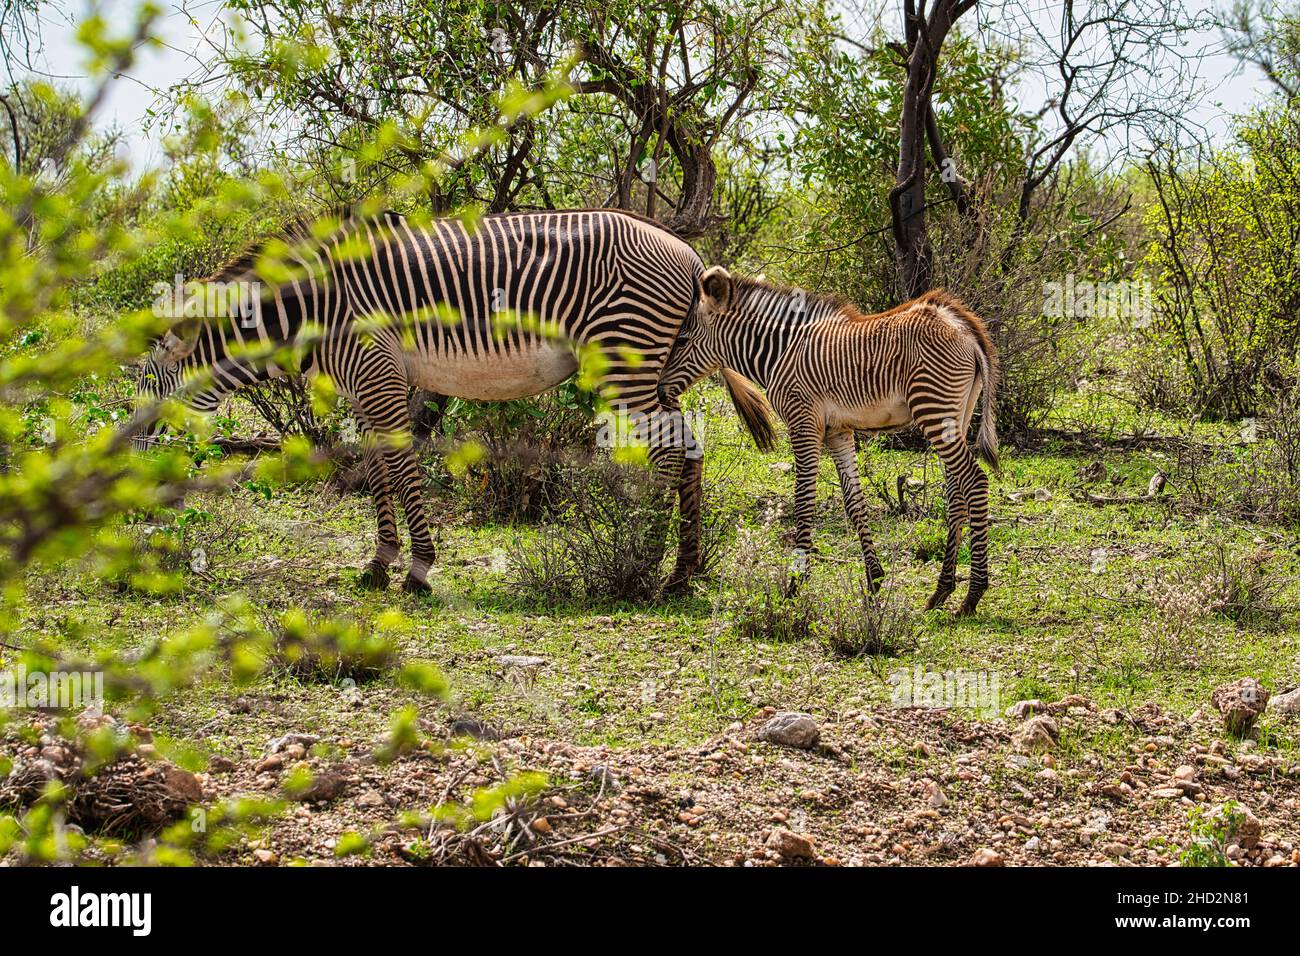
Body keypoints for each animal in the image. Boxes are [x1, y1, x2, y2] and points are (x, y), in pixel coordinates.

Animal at [135, 208, 733, 594]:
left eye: (149, 382)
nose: (131, 469)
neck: (314, 311)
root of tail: (687, 252)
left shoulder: (377, 374)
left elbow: (401, 466)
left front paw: (419, 568)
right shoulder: (363, 386)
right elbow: (378, 469)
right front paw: (379, 563)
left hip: (623, 352)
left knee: (669, 449)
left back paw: (647, 564)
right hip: (657, 364)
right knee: (689, 444)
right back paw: (685, 572)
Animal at [659, 266, 999, 615]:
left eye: (681, 340)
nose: (658, 389)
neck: (780, 352)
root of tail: (961, 324)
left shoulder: (803, 422)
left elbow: (804, 499)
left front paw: (794, 586)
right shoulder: (838, 431)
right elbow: (854, 503)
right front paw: (874, 581)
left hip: (933, 408)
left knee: (975, 481)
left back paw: (973, 595)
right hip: (955, 415)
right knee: (956, 493)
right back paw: (941, 591)